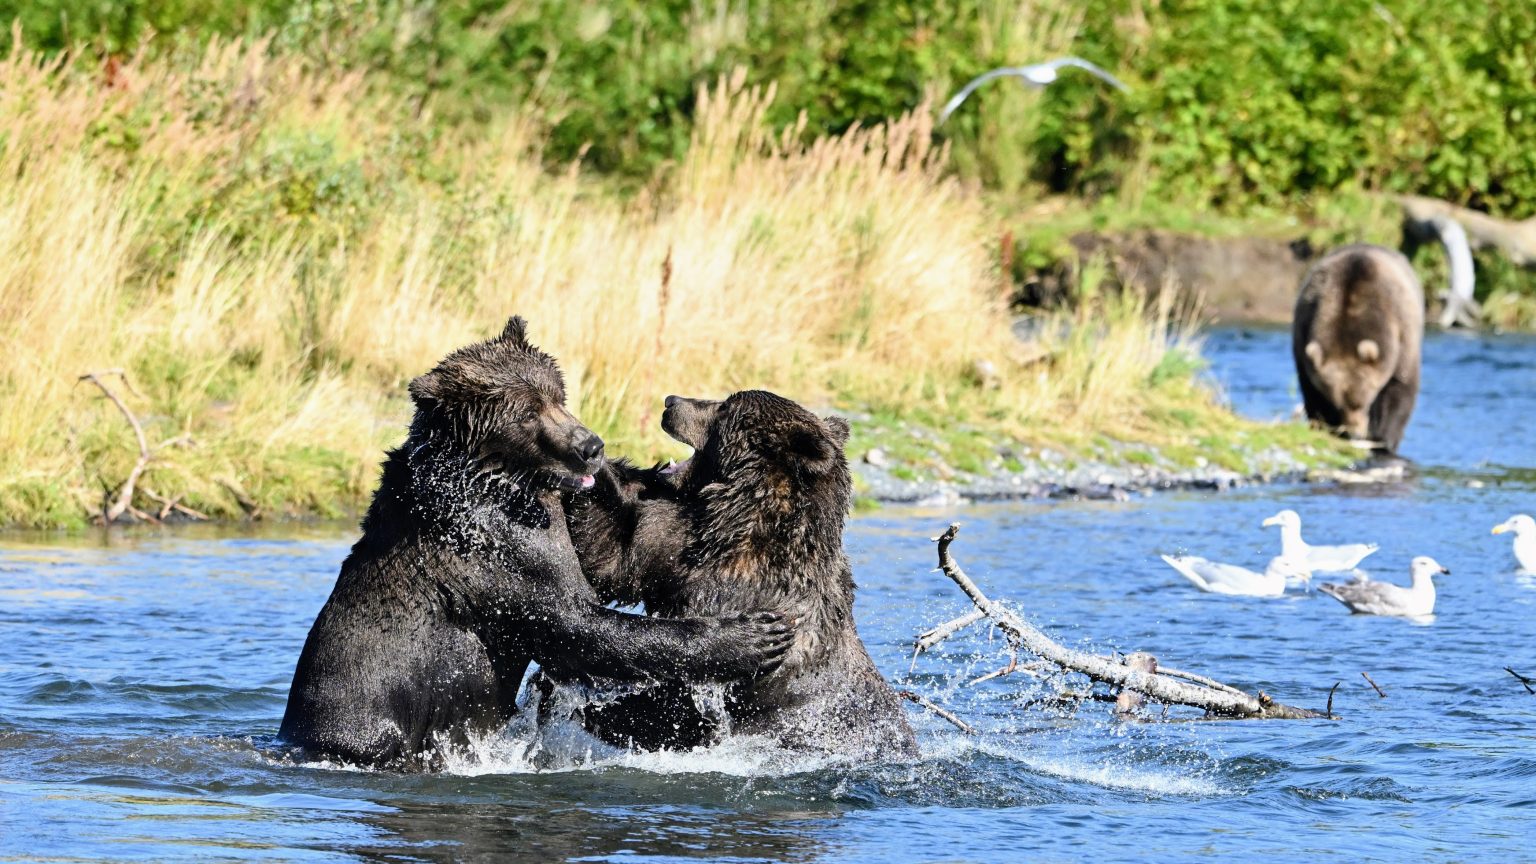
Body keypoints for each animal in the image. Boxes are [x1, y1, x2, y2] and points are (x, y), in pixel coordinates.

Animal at [278, 318, 793, 770]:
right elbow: (579, 624)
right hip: (369, 720)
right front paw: (754, 635)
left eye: (556, 394)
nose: (591, 445)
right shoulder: (501, 549)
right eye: (526, 413)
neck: (499, 481)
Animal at [554, 390, 918, 760]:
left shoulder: (733, 584)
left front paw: (601, 710)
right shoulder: (673, 550)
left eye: (725, 407)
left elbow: (683, 698)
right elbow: (613, 554)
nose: (671, 401)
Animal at [1292, 244, 1424, 454]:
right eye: (1337, 405)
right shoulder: (1303, 334)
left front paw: (1385, 437)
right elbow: (1311, 390)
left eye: (1361, 403)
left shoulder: (1402, 333)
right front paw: (1325, 425)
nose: (1353, 433)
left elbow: (1400, 386)